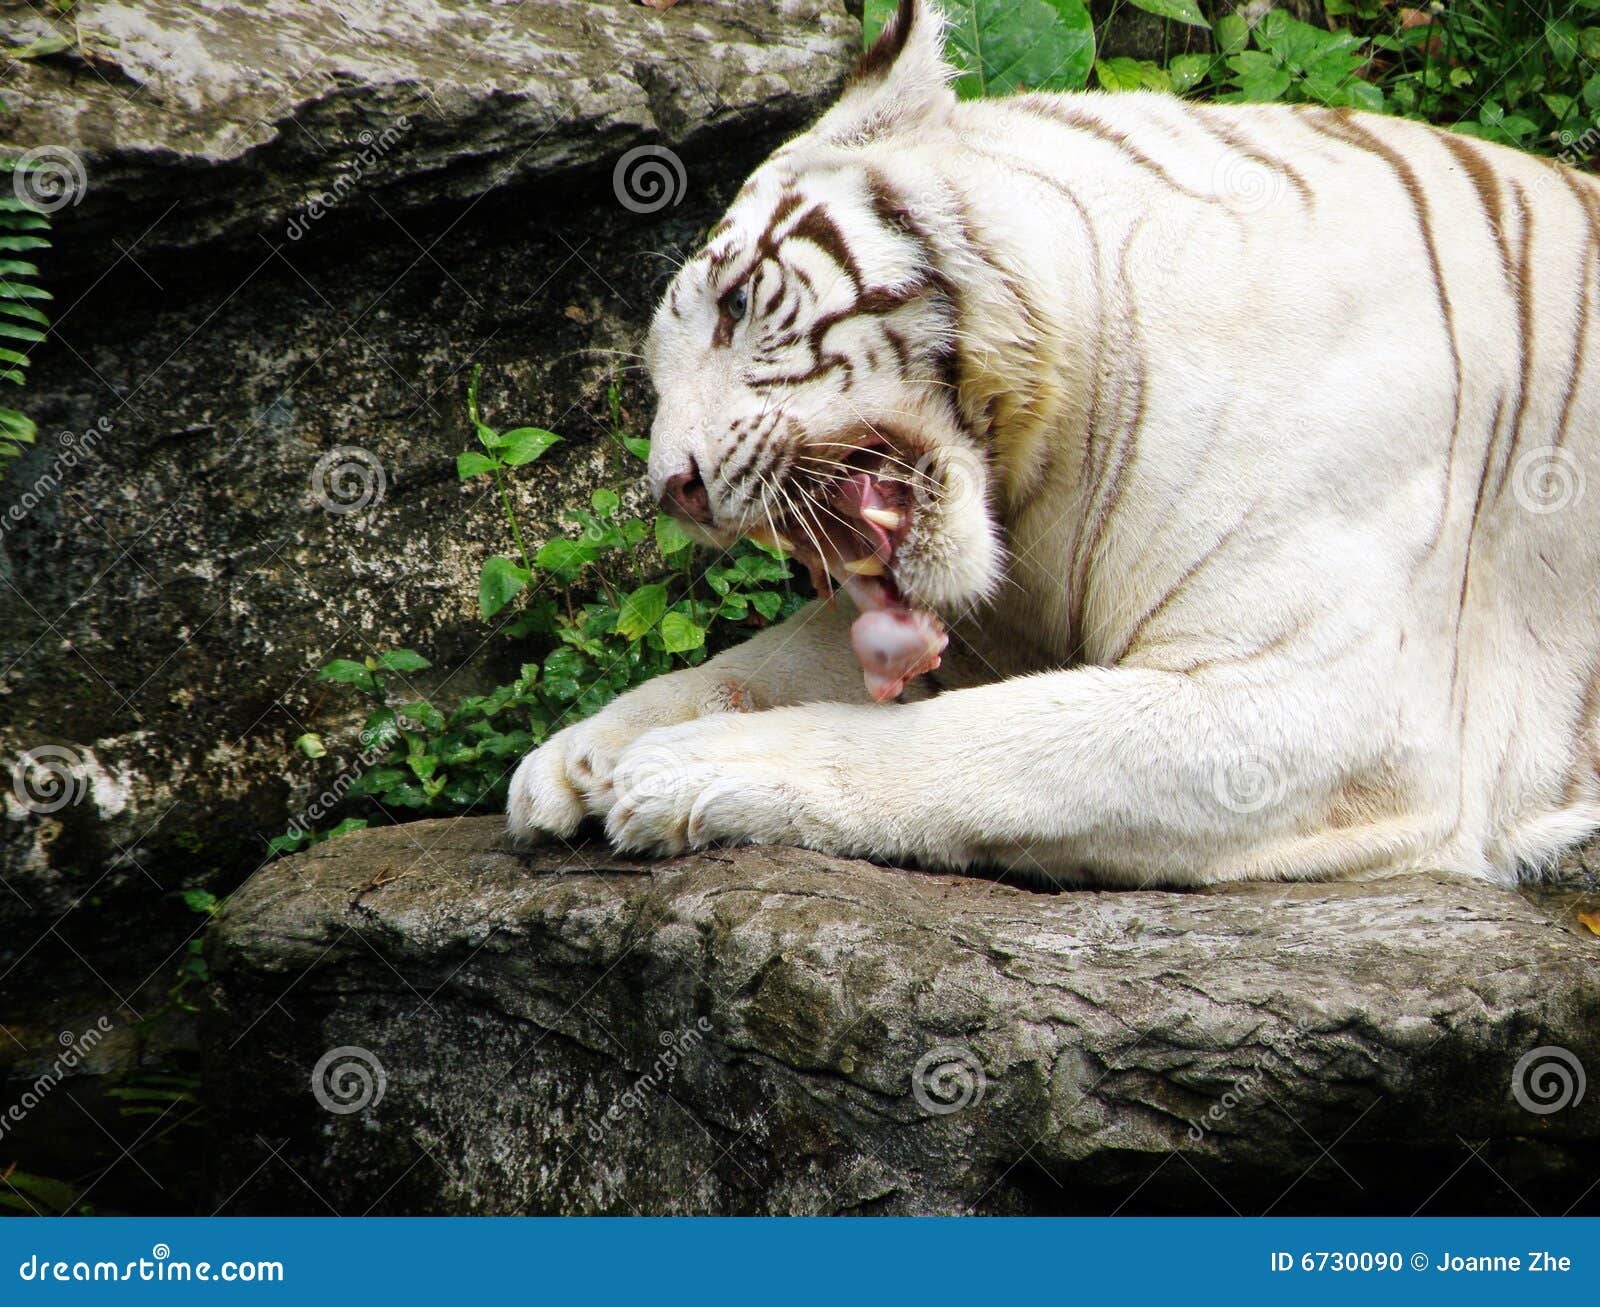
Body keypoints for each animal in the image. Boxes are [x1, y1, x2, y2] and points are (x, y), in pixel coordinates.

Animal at [507, 0, 1600, 888]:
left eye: (736, 305)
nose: (674, 489)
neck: (1056, 443)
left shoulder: (1332, 704)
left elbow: (974, 740)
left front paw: (682, 769)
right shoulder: (993, 621)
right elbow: (763, 659)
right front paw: (577, 757)